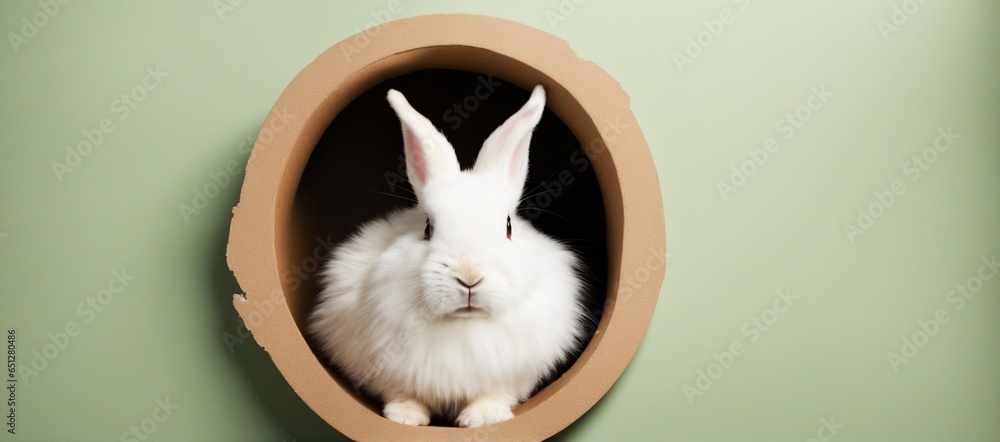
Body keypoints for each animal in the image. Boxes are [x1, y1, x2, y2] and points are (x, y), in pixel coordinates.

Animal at [307, 85, 587, 428]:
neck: (462, 325)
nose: (469, 278)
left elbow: (497, 393)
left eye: (508, 226)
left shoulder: (514, 374)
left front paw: (482, 418)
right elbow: (402, 392)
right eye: (428, 227)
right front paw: (405, 418)